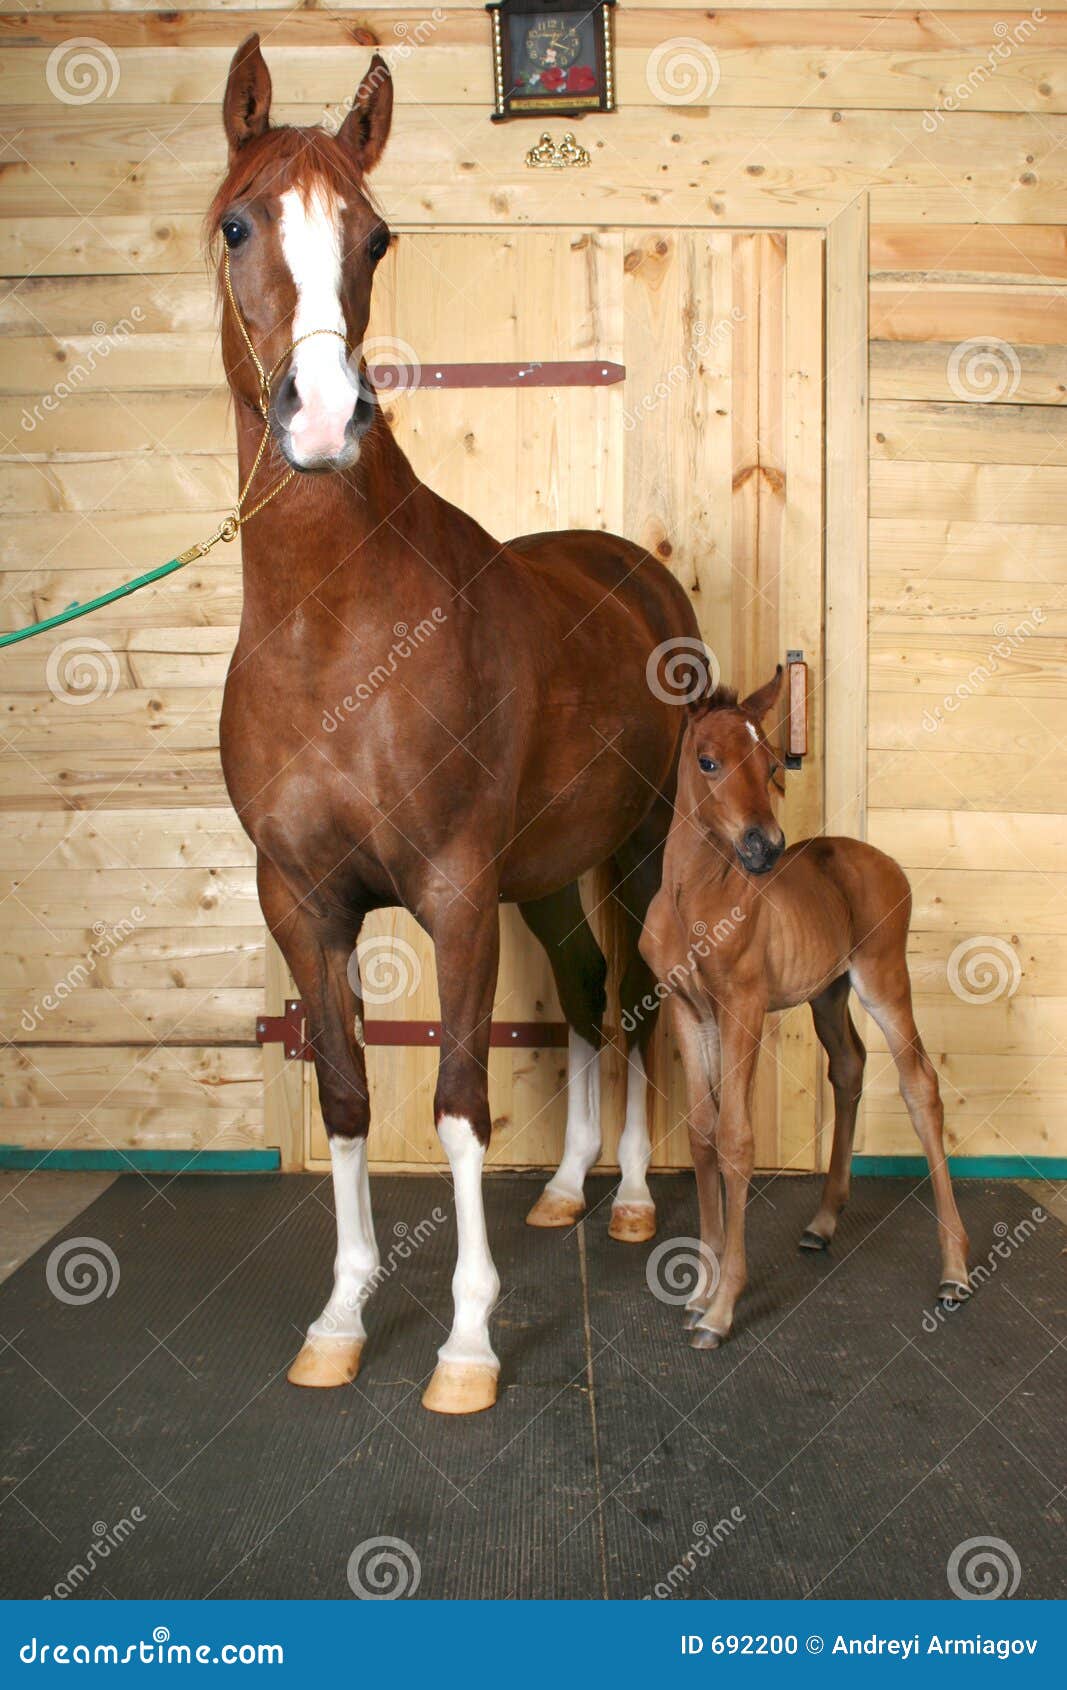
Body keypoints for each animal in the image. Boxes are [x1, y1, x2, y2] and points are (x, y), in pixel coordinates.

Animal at [212, 38, 702, 1413]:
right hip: (541, 881)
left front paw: (468, 1340)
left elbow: (458, 1101)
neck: (333, 637)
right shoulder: (302, 901)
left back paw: (629, 1196)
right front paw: (339, 1317)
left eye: (376, 237)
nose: (324, 418)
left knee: (632, 1000)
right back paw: (566, 1190)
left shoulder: (450, 889)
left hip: (630, 854)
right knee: (584, 995)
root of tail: (636, 574)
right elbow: (344, 1096)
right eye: (236, 224)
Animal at [640, 669, 971, 1350]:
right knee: (849, 1066)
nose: (765, 846)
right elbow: (702, 1132)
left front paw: (721, 1309)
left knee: (920, 1084)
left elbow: (737, 1137)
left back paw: (954, 1270)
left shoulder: (742, 1007)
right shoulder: (688, 1012)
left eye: (770, 764)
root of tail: (884, 862)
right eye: (708, 761)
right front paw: (702, 1289)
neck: (695, 900)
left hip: (882, 980)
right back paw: (822, 1222)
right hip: (828, 992)